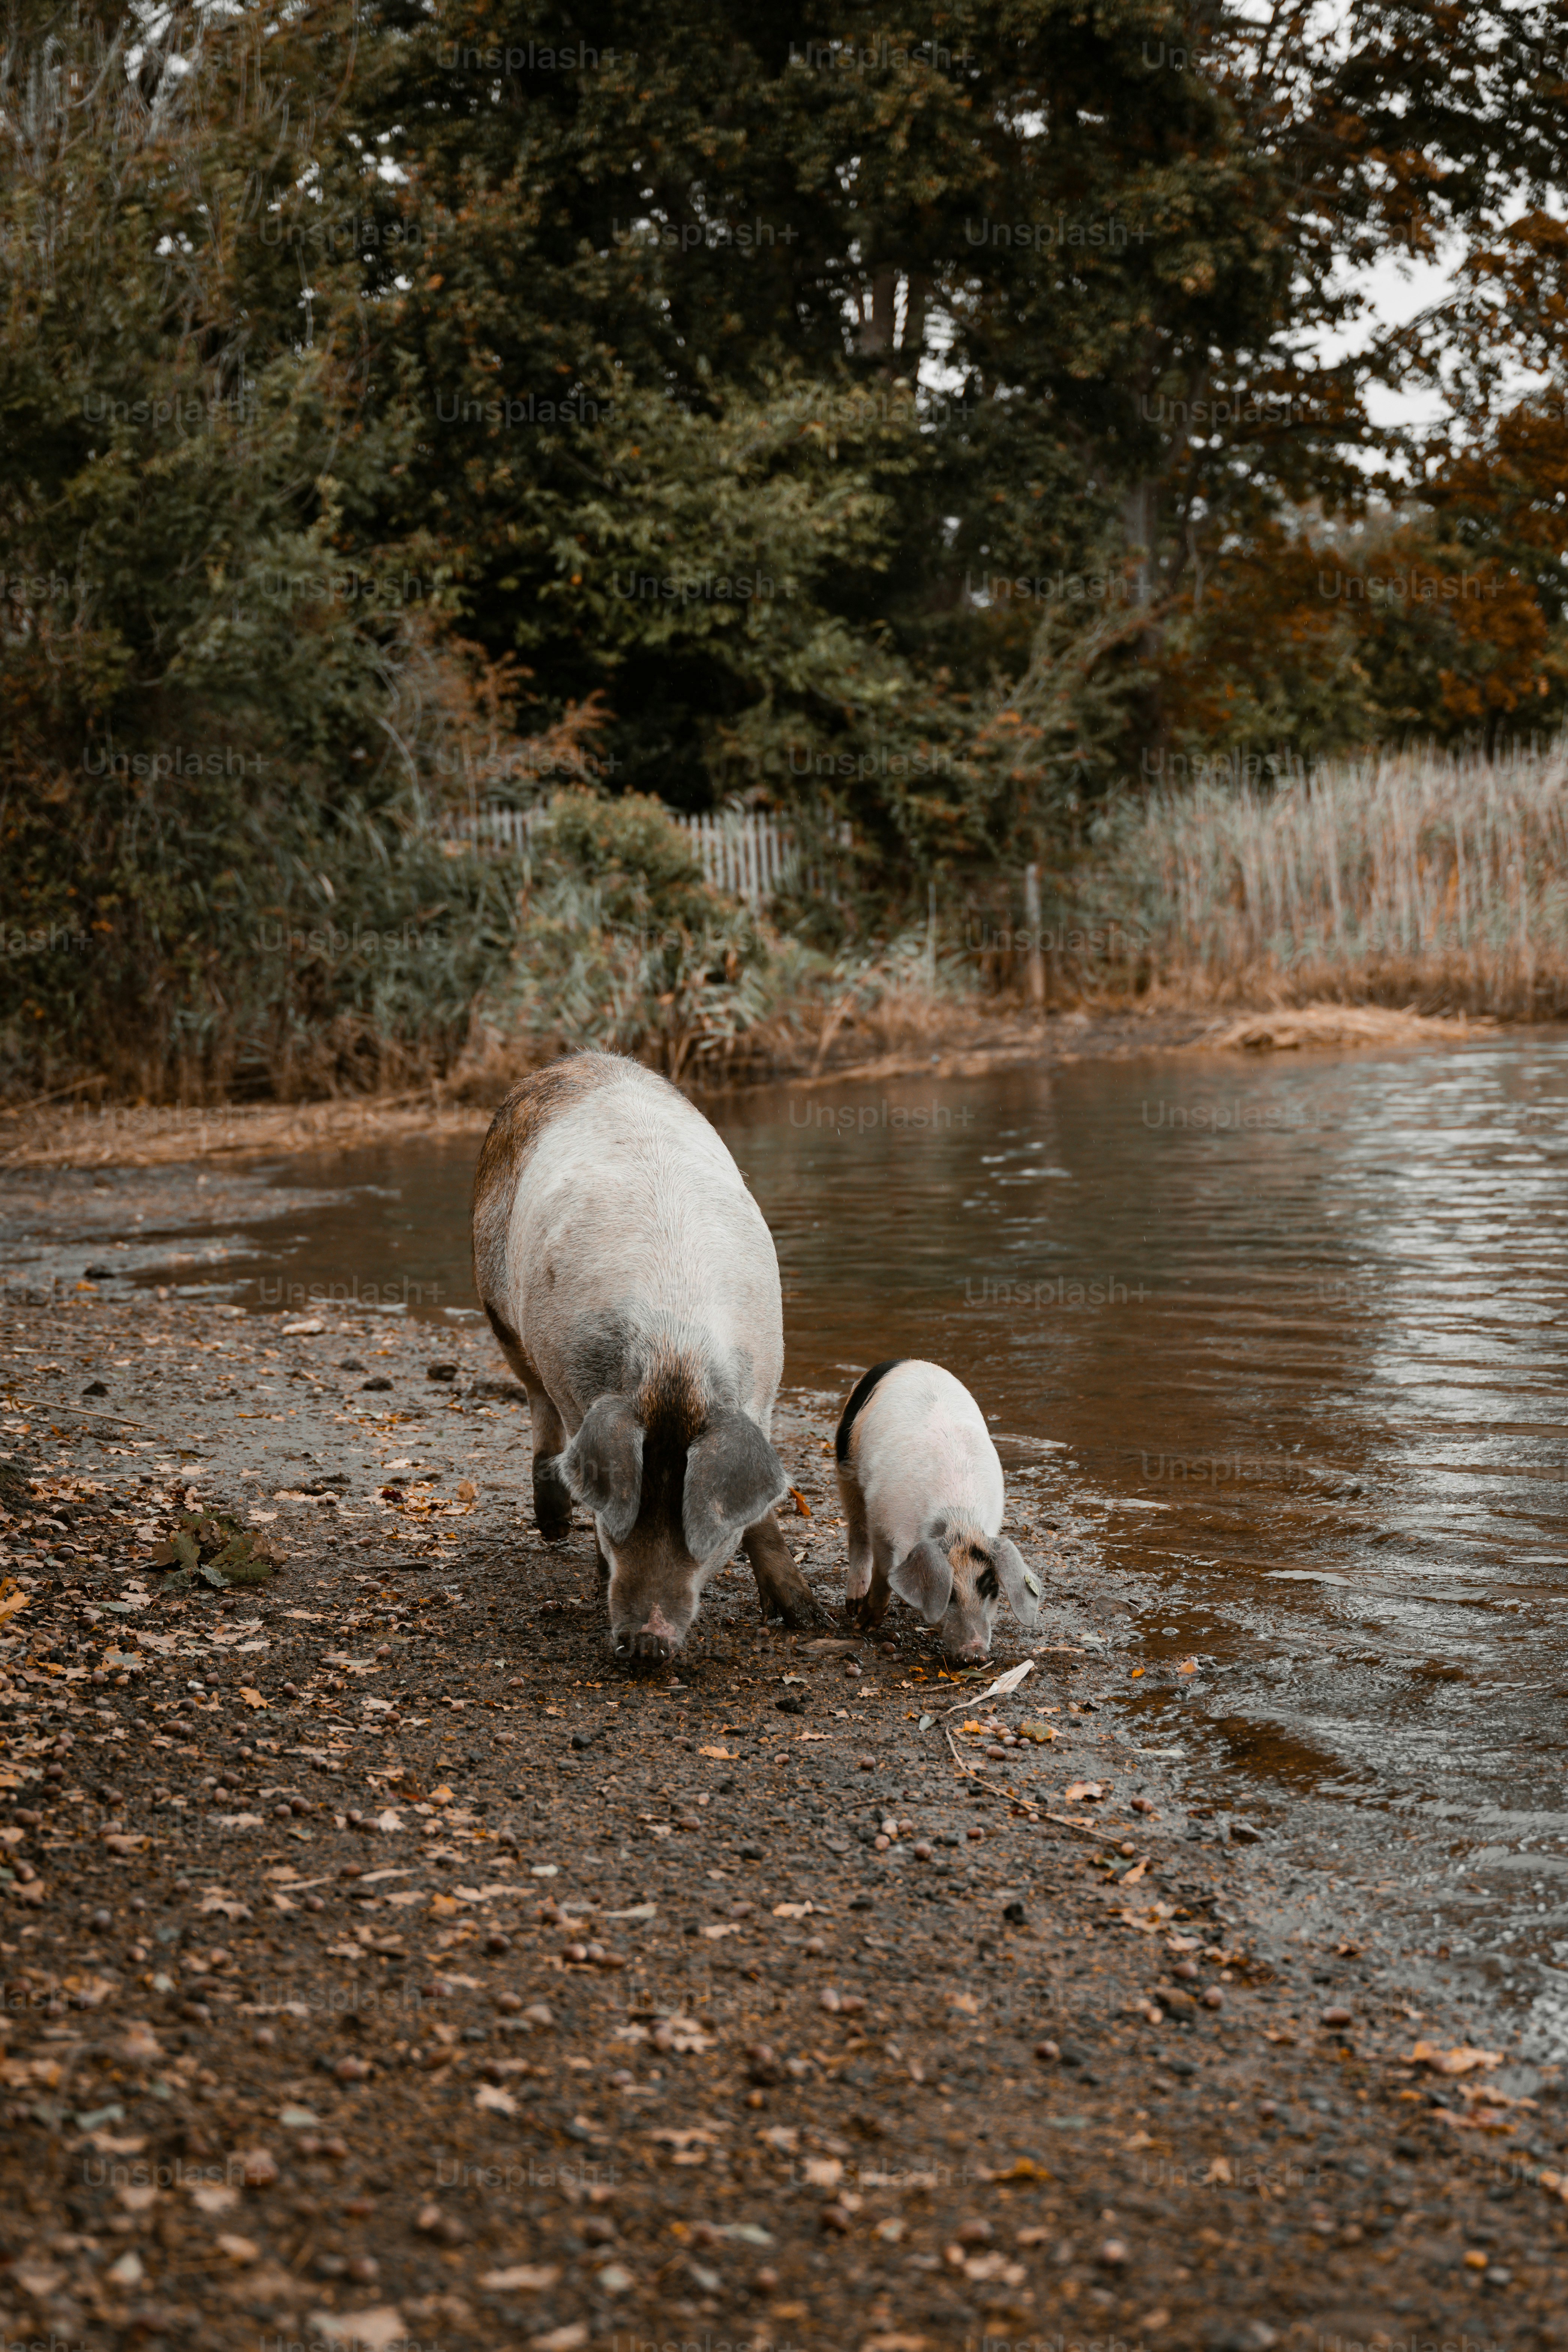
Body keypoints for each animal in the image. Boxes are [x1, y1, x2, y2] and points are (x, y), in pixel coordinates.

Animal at [471, 1051, 822, 1662]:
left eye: (700, 1532)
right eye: (622, 1526)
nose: (645, 1644)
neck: (673, 1361)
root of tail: (580, 1060)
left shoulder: (765, 1390)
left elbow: (761, 1515)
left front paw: (807, 1618)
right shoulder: (576, 1387)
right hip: (497, 1299)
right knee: (534, 1397)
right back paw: (553, 1528)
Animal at [834, 1357, 1043, 1658]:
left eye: (992, 1589)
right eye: (950, 1594)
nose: (975, 1652)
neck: (958, 1517)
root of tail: (908, 1361)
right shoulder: (880, 1518)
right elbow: (883, 1572)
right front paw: (865, 1626)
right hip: (846, 1467)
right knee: (857, 1533)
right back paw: (853, 1608)